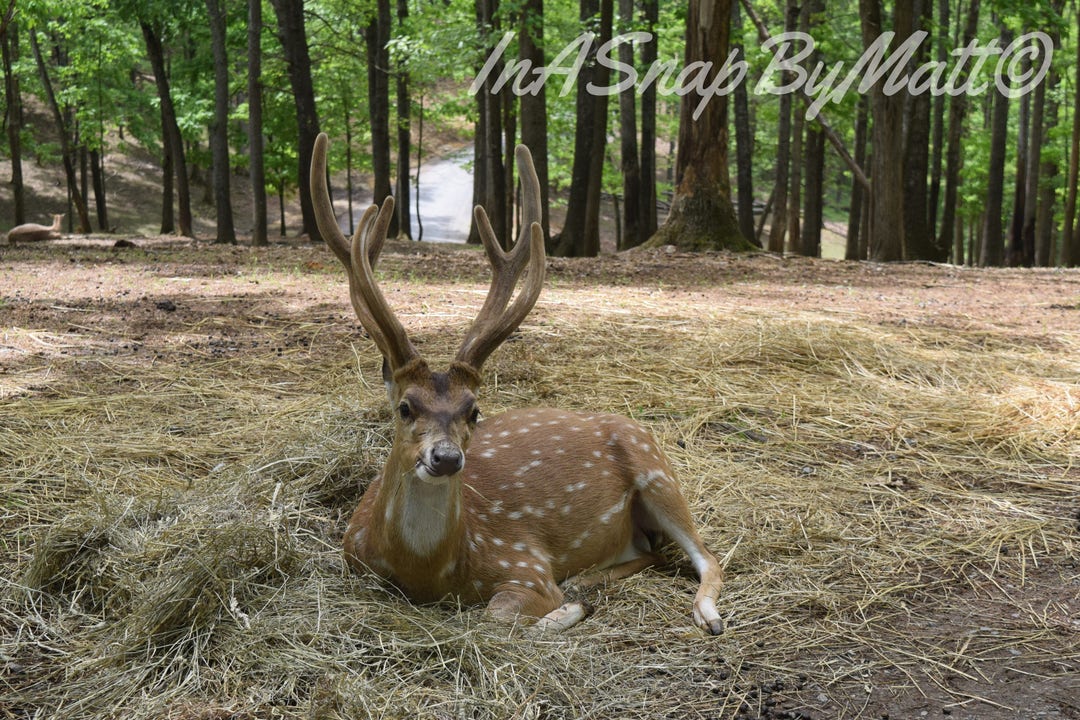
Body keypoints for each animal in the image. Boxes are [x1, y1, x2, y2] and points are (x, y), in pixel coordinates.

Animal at [310, 133, 724, 634]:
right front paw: (578, 599)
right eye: (405, 407)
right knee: (654, 554)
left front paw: (569, 608)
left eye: (474, 409)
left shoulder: (525, 562)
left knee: (707, 556)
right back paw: (589, 580)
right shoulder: (353, 559)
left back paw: (703, 615)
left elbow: (496, 617)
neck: (429, 572)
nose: (446, 458)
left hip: (658, 471)